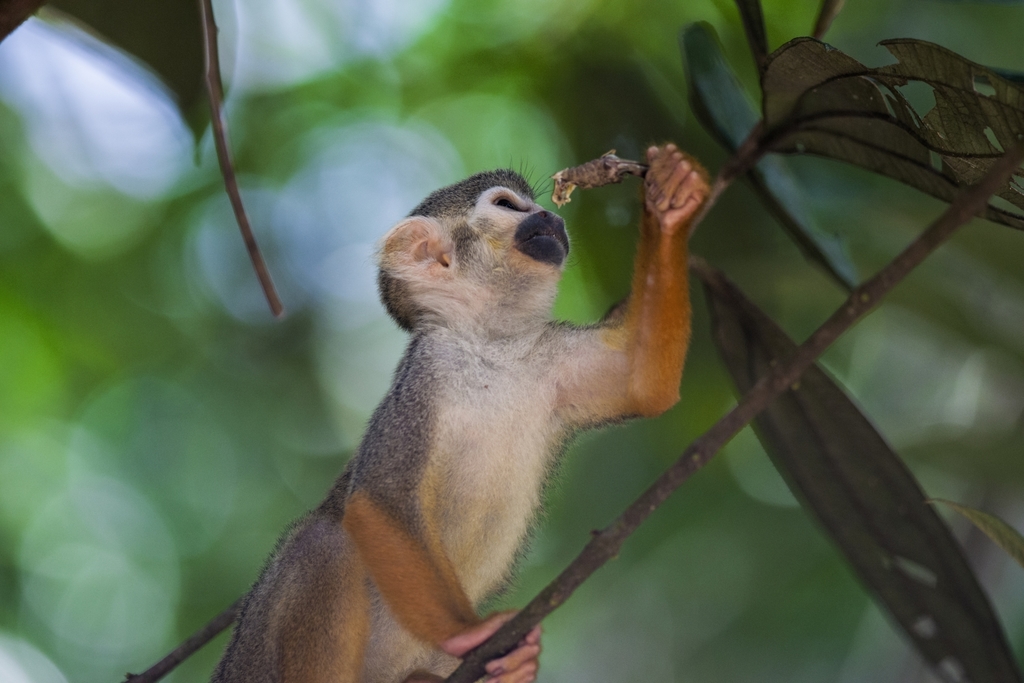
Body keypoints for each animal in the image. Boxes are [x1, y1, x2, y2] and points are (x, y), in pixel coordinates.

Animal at [210, 144, 709, 683]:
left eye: (538, 205)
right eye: (509, 205)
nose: (550, 217)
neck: (489, 347)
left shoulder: (551, 358)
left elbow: (643, 384)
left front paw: (671, 198)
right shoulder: (424, 377)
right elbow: (378, 501)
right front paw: (467, 634)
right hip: (256, 659)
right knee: (324, 544)